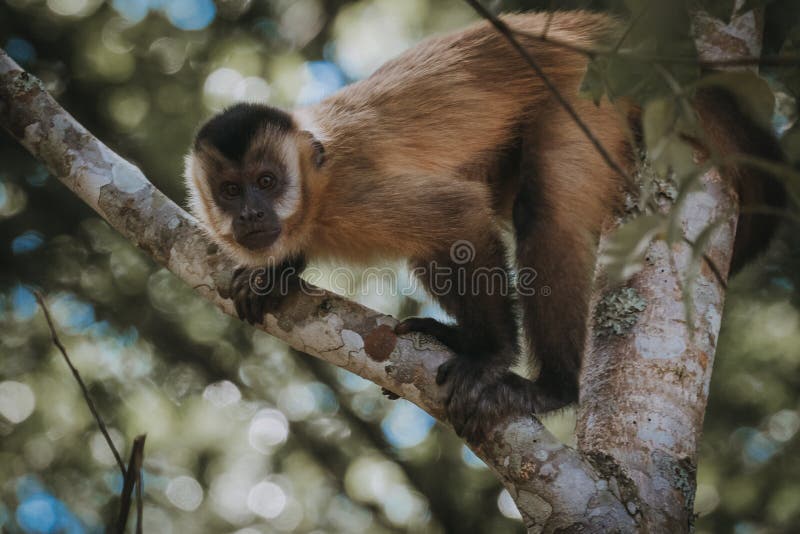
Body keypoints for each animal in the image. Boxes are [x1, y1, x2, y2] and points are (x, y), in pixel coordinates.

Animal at [184, 12, 785, 441]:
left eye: (267, 181)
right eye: (232, 190)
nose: (251, 214)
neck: (315, 195)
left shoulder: (354, 196)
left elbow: (459, 215)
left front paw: (490, 355)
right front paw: (276, 273)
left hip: (585, 96)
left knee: (541, 211)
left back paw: (551, 385)